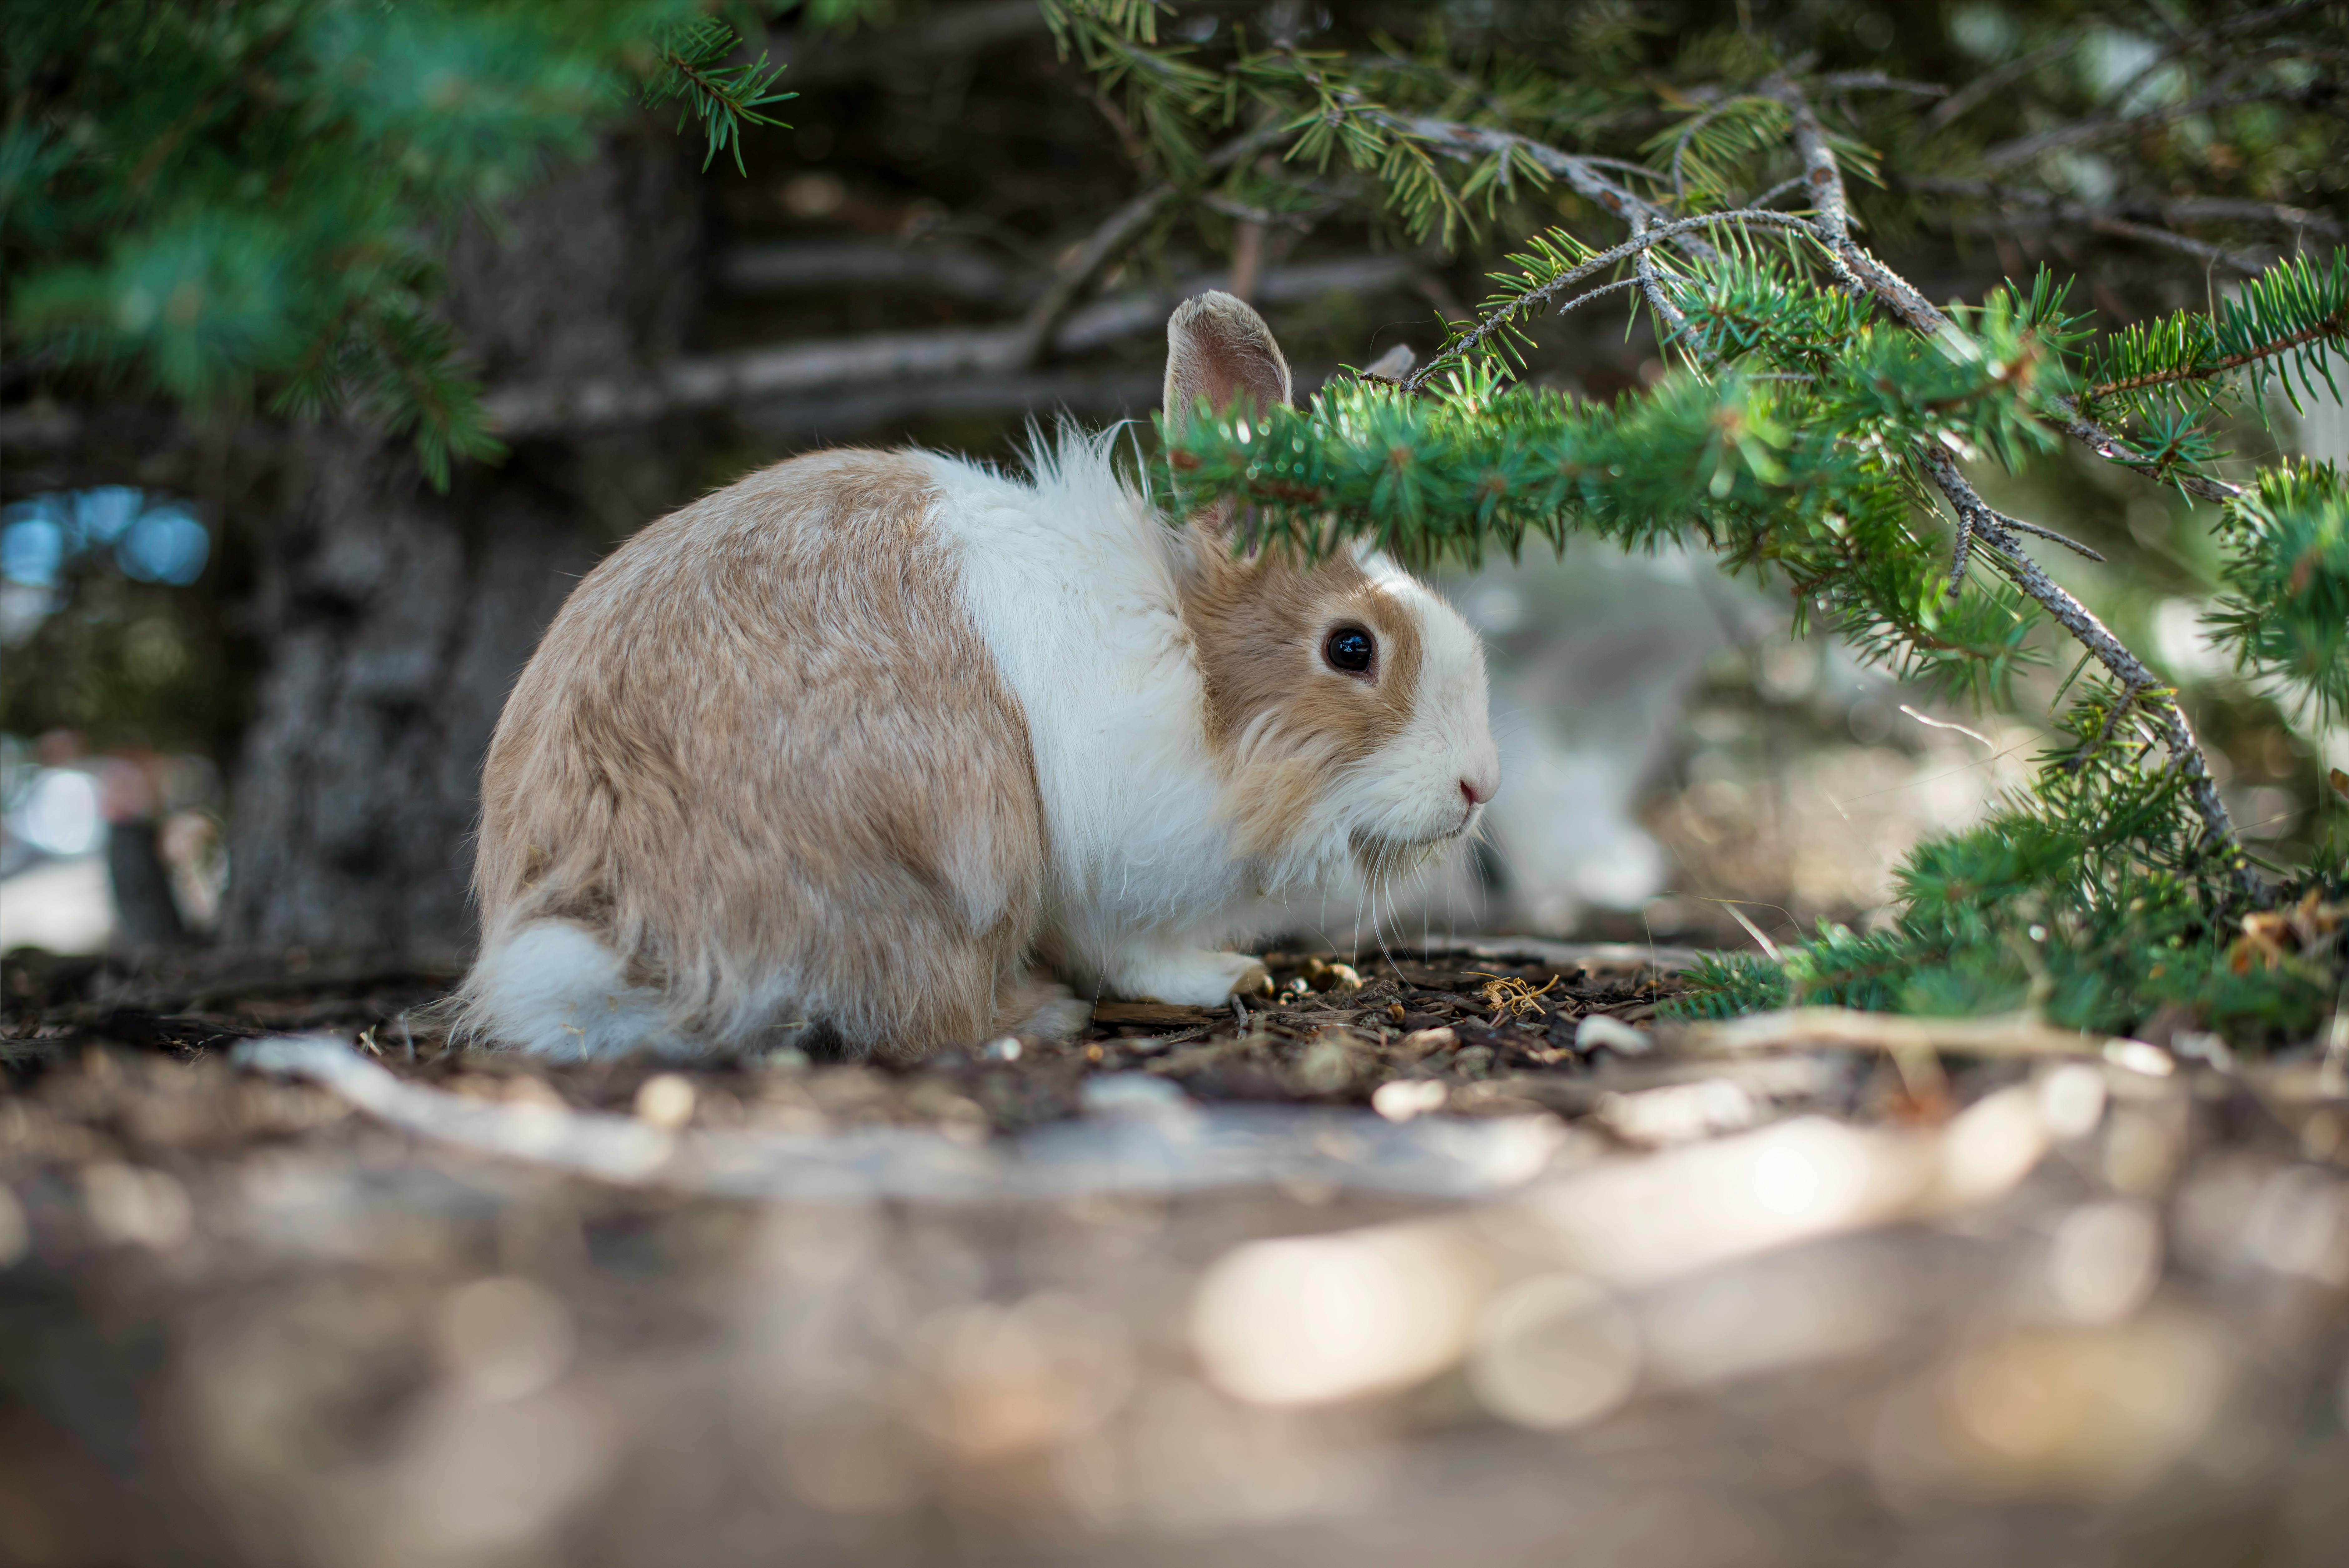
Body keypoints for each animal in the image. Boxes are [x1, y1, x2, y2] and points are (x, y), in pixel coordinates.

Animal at [458, 291, 1499, 1062]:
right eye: (1352, 648)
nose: (1477, 787)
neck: (1196, 678)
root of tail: (610, 927)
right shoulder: (1107, 874)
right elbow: (1135, 953)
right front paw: (1224, 974)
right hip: (959, 854)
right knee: (924, 1014)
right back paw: (1042, 1015)